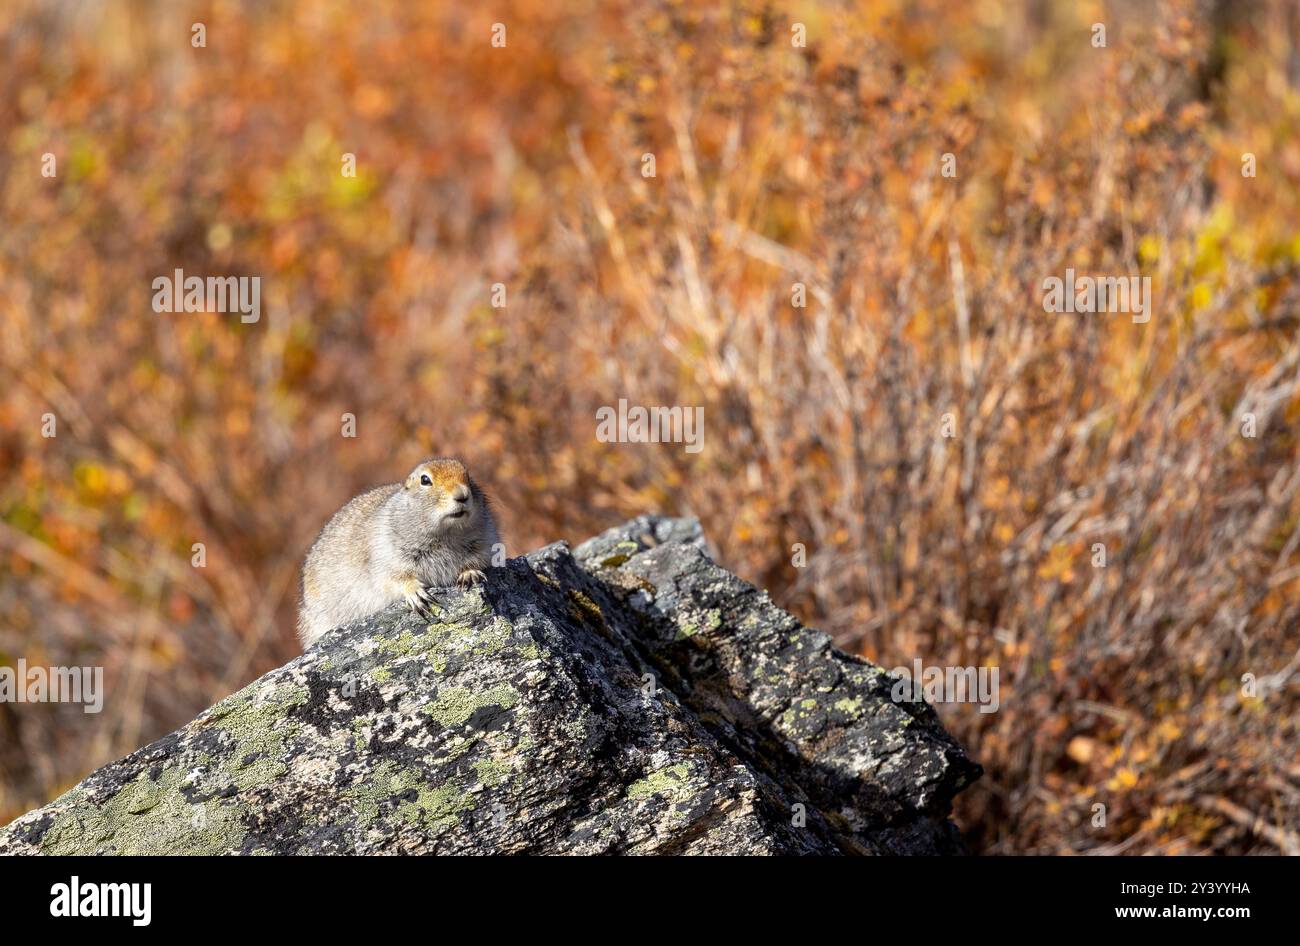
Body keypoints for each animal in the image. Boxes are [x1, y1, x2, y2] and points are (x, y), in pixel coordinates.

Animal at [296, 457, 500, 647]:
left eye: (468, 475)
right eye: (425, 480)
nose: (462, 495)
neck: (446, 534)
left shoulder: (486, 541)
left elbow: (479, 559)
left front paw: (470, 574)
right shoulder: (387, 555)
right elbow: (393, 578)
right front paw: (416, 594)